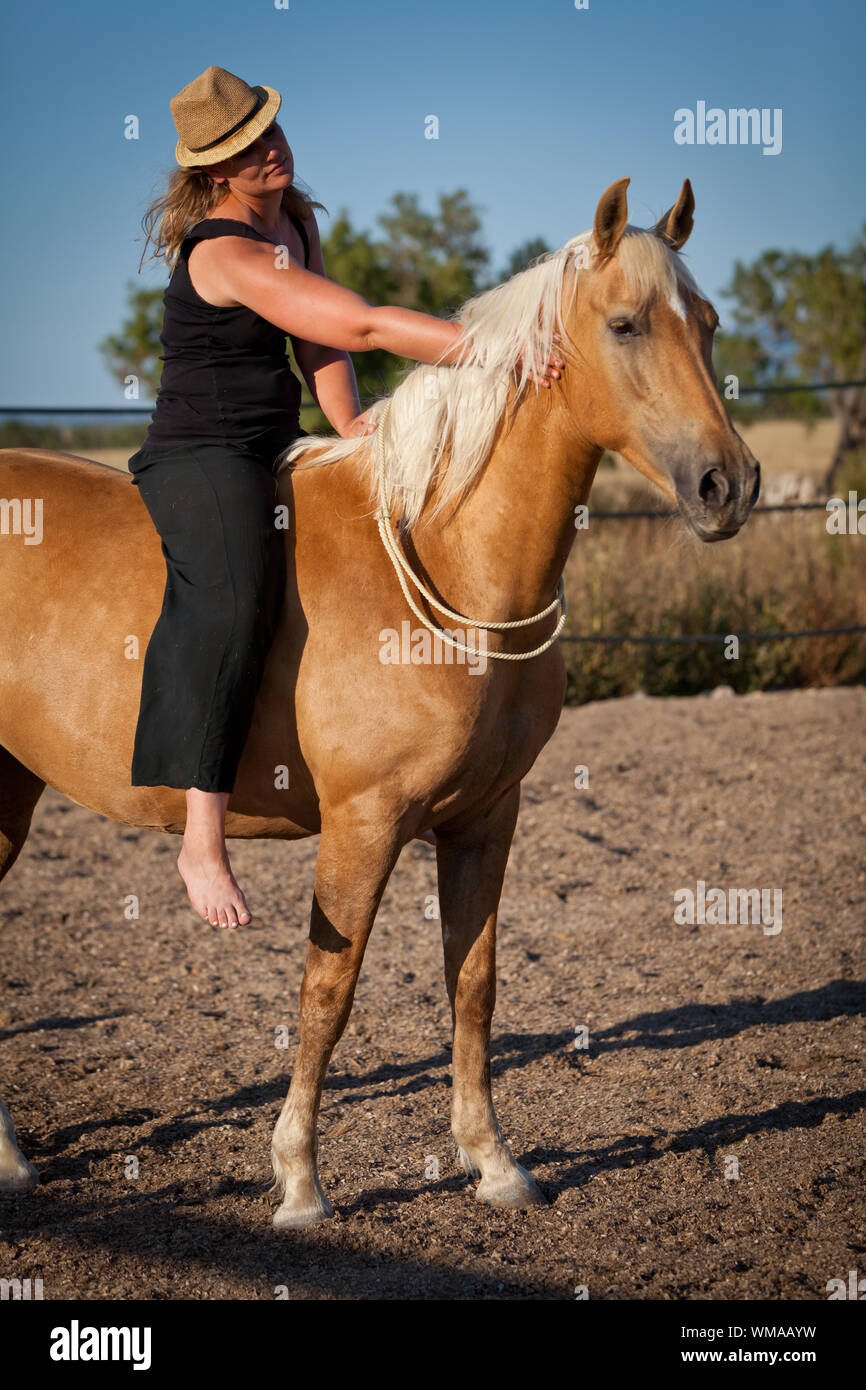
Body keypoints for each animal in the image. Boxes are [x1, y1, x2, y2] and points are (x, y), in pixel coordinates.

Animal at [0, 178, 759, 1227]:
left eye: (711, 322)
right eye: (625, 324)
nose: (729, 485)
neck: (447, 561)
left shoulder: (486, 817)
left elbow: (473, 982)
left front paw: (493, 1163)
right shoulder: (363, 824)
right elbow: (330, 992)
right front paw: (299, 1182)